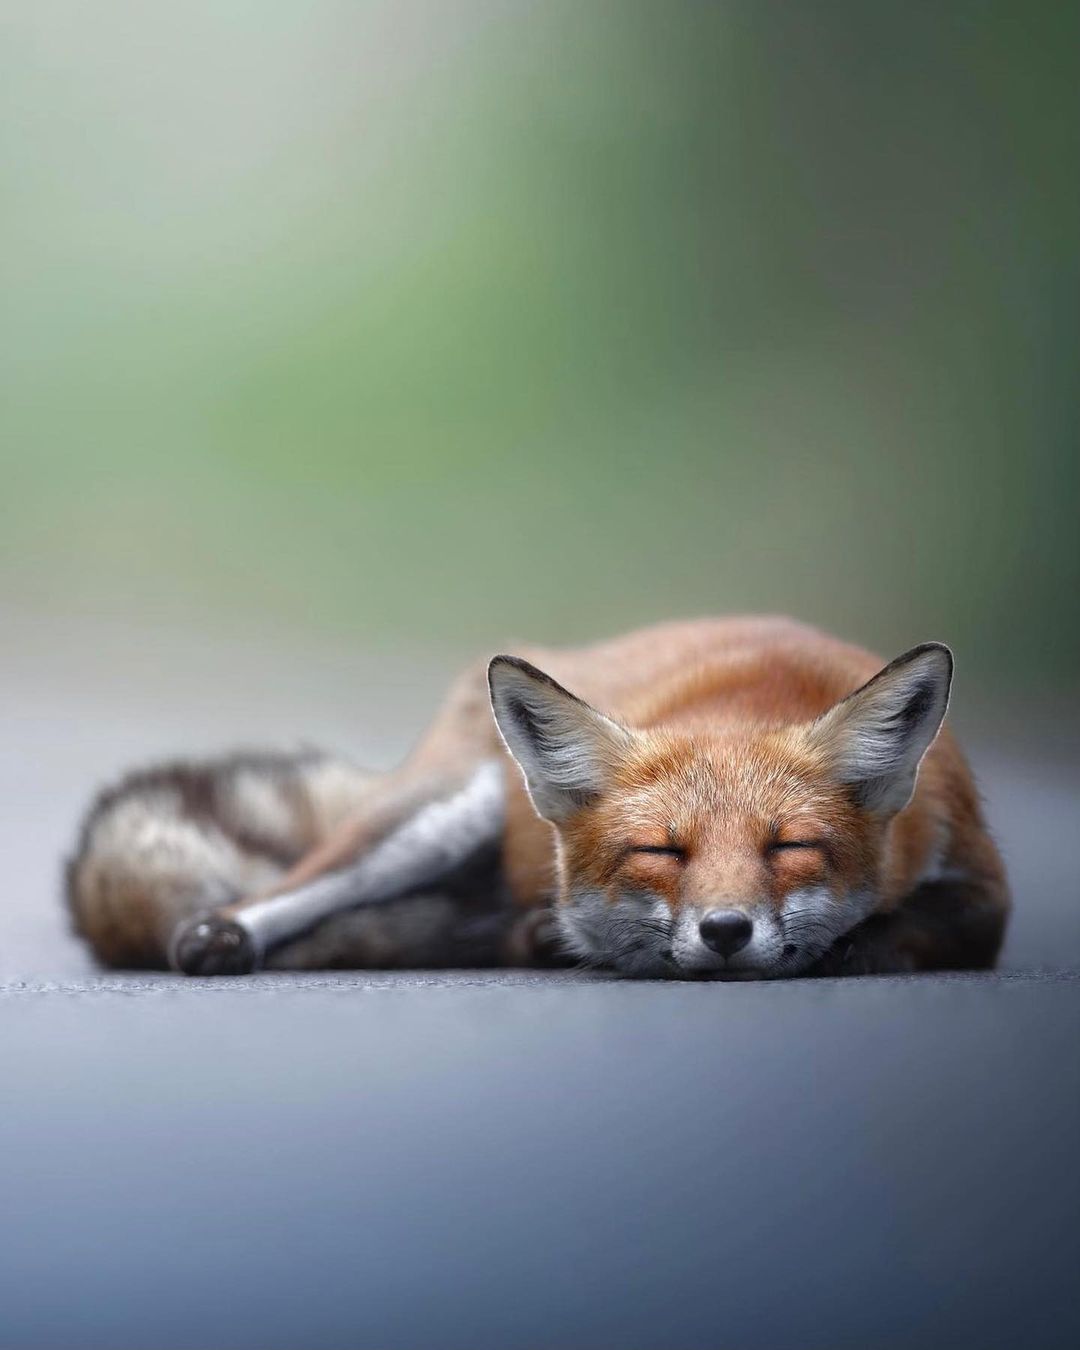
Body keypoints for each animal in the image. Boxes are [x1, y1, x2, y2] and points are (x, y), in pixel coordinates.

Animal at [66, 617, 1009, 979]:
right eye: (661, 851)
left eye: (790, 847)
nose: (726, 931)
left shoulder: (984, 888)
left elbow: (919, 931)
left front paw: (850, 946)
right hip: (443, 813)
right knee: (253, 908)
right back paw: (225, 939)